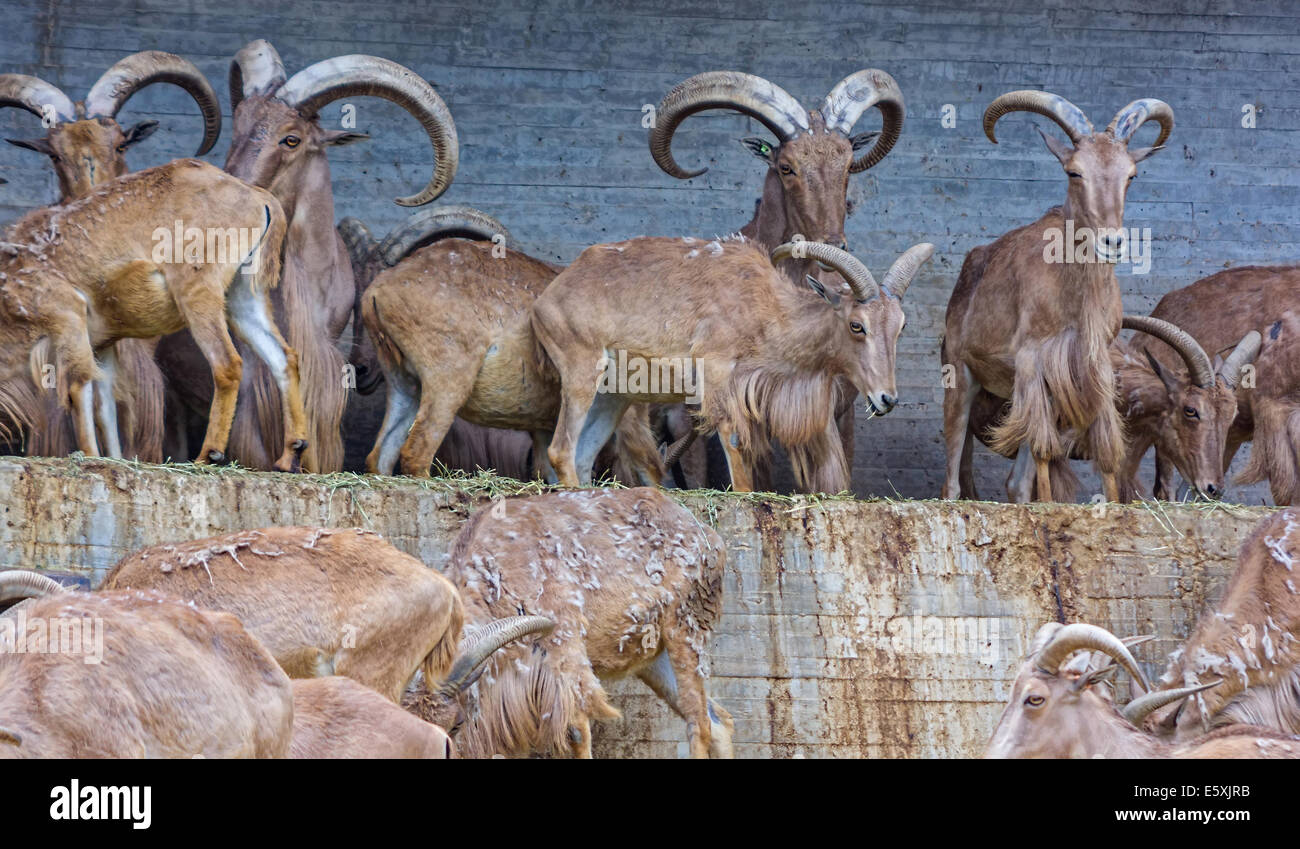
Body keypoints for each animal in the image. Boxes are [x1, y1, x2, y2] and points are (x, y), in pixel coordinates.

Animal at [0, 158, 308, 469]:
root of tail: (260, 199)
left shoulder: (66, 313)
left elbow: (78, 387)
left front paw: (89, 455)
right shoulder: (102, 343)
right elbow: (105, 406)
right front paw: (114, 457)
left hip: (198, 287)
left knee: (227, 364)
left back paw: (207, 455)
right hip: (242, 295)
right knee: (284, 357)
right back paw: (289, 454)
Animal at [405, 487, 733, 758]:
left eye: (456, 723)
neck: (498, 571)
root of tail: (708, 535)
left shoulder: (564, 650)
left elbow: (575, 732)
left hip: (686, 629)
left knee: (699, 721)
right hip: (653, 655)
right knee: (718, 720)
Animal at [531, 237, 930, 489]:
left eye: (901, 326)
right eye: (856, 325)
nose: (886, 399)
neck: (767, 310)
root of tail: (547, 299)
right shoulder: (719, 376)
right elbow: (735, 443)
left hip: (614, 397)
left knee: (582, 456)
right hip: (581, 370)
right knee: (560, 450)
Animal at [943, 91, 1173, 503]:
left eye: (1130, 174)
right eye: (1074, 172)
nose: (1112, 242)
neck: (1076, 300)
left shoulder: (1094, 368)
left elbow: (1105, 447)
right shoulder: (1033, 361)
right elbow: (1044, 450)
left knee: (1016, 482)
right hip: (961, 377)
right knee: (953, 479)